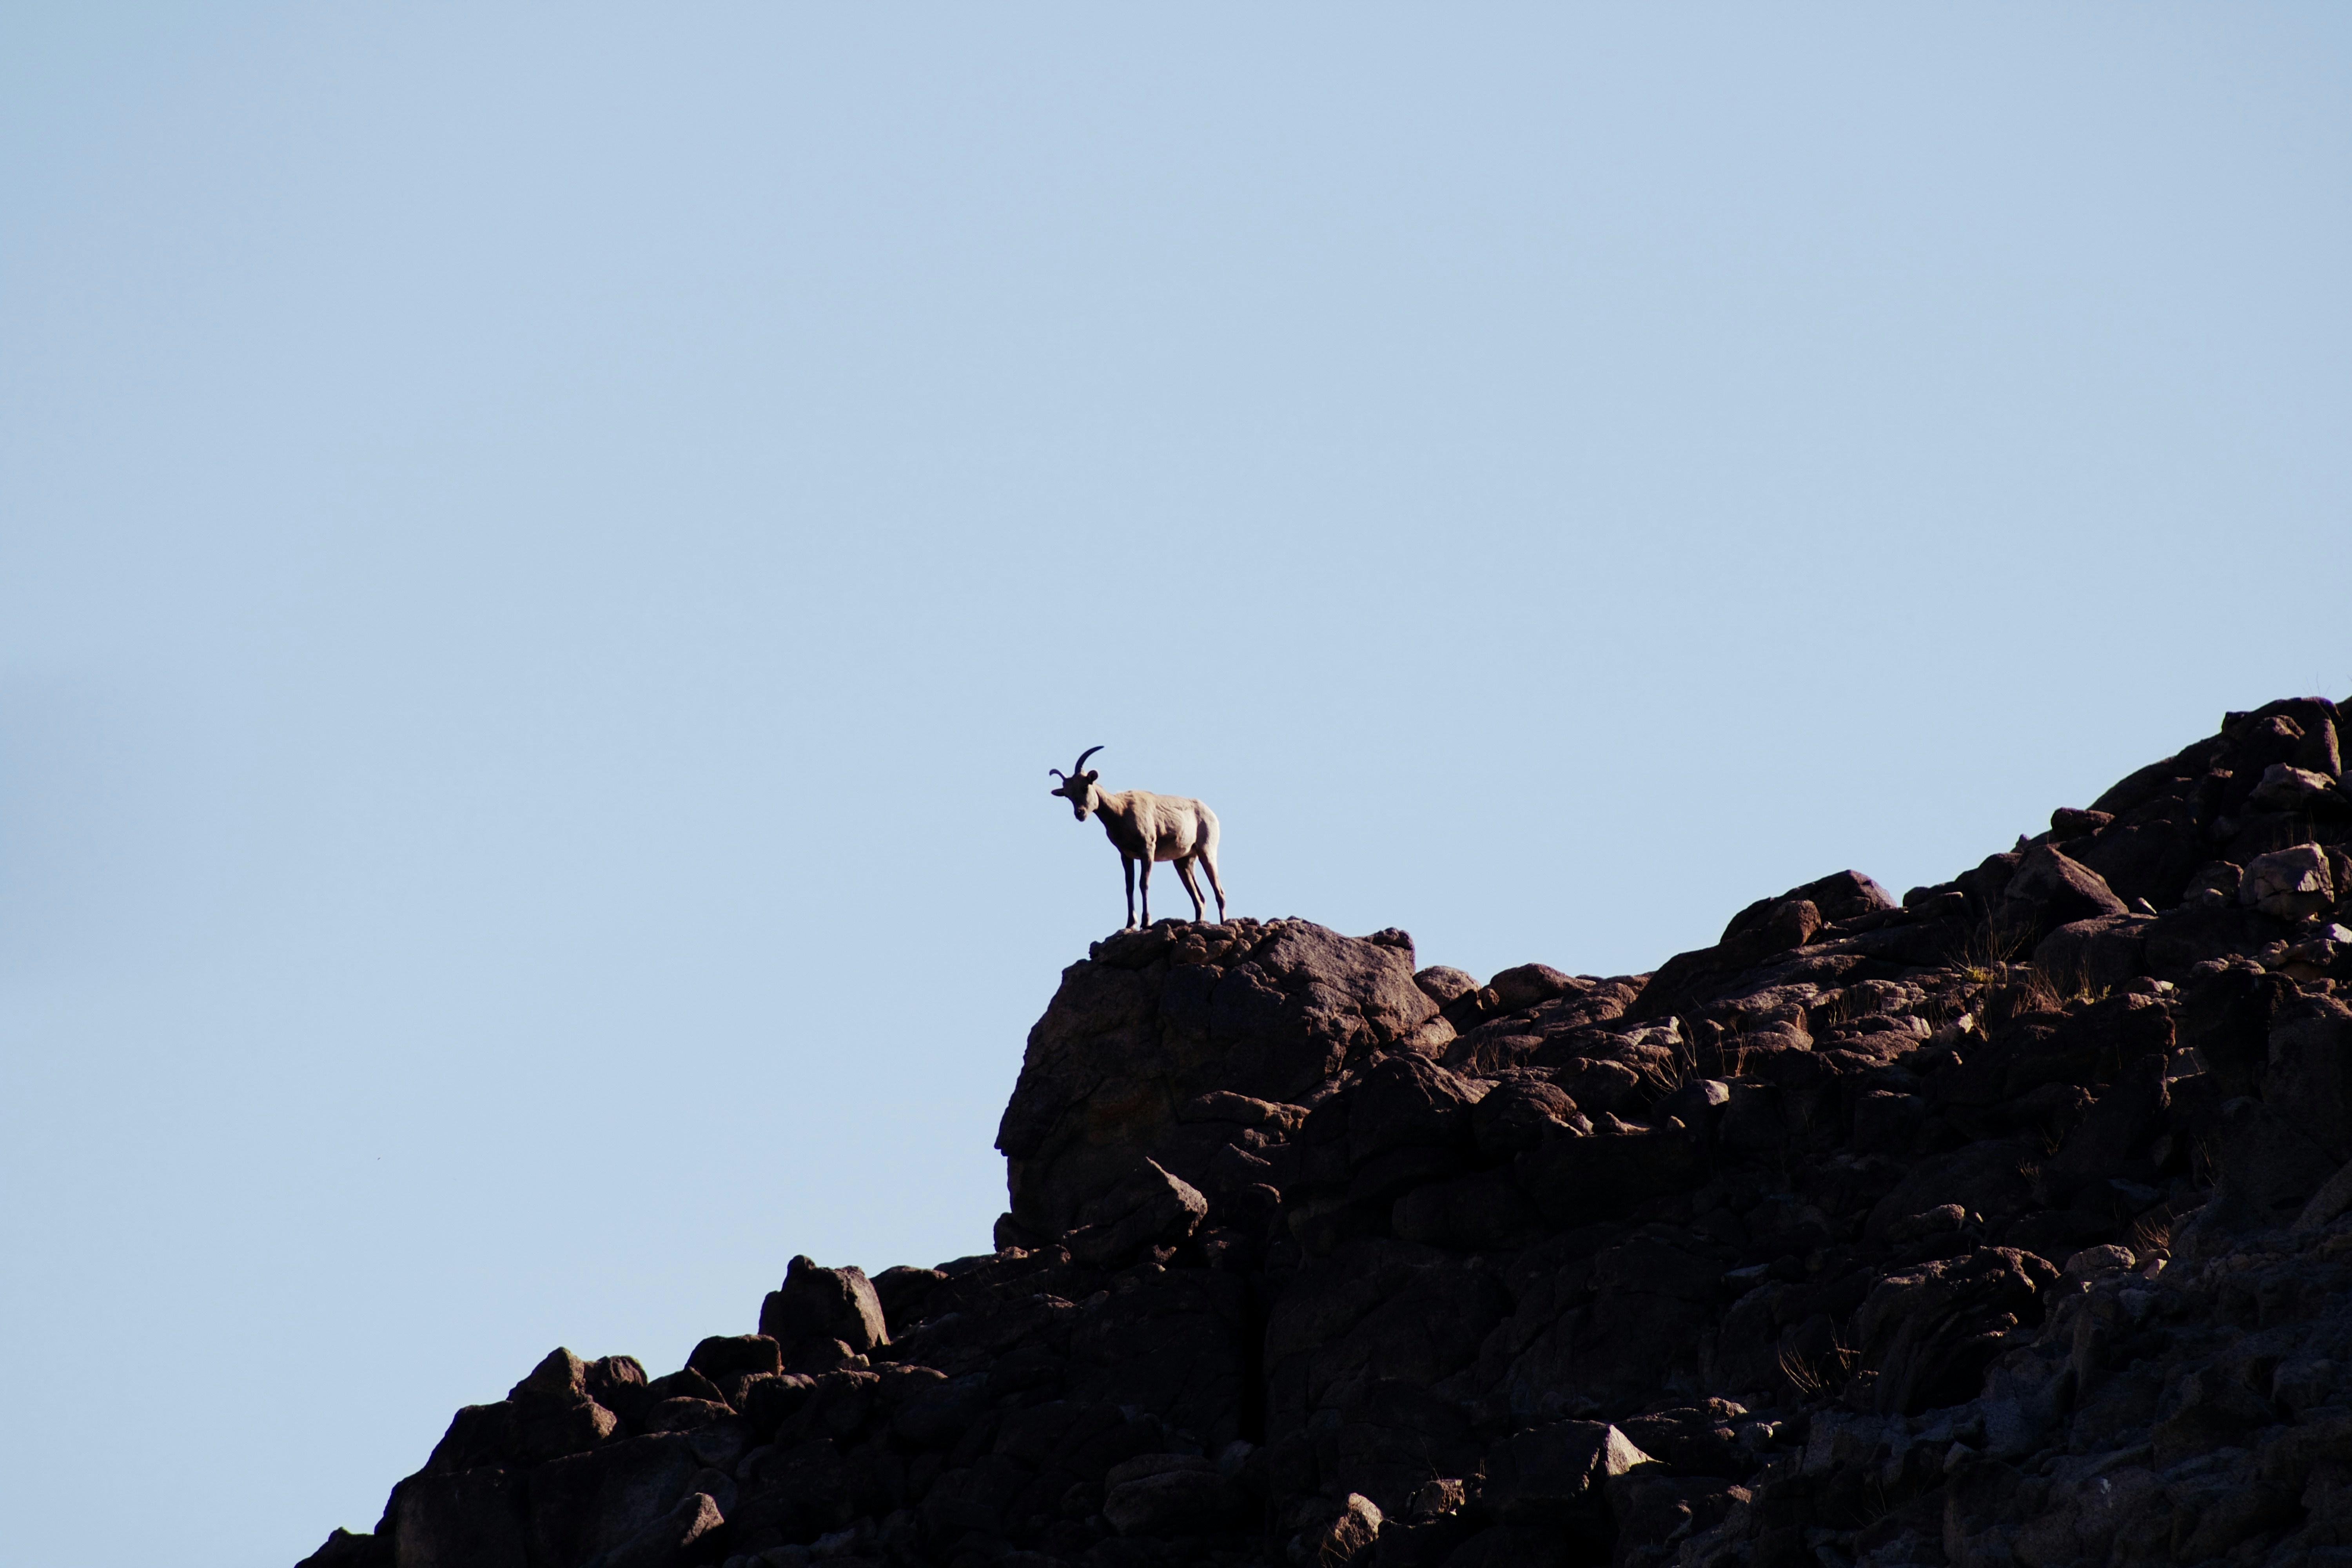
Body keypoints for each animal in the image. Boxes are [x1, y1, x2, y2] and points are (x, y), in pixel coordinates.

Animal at [1048, 745, 1228, 929]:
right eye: (1068, 795)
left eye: (1086, 786)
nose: (1080, 814)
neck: (1121, 812)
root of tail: (1211, 814)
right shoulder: (1126, 855)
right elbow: (1130, 886)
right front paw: (1130, 923)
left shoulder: (1147, 849)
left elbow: (1144, 884)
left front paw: (1145, 922)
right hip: (1183, 862)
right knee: (1200, 898)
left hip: (1207, 851)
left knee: (1219, 892)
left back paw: (1224, 923)